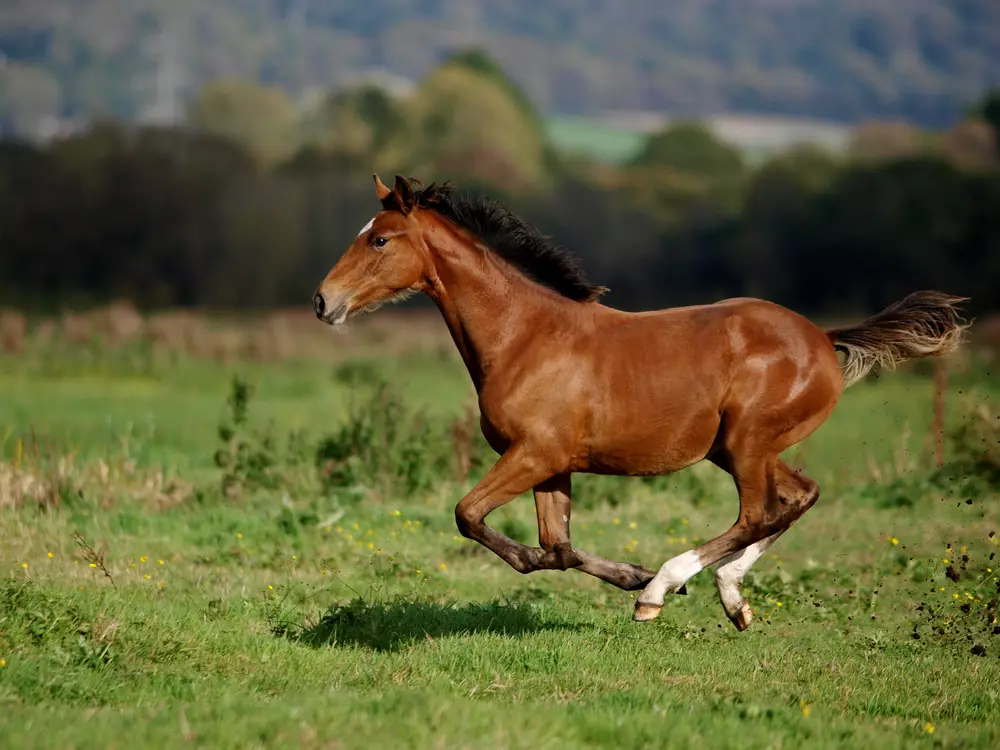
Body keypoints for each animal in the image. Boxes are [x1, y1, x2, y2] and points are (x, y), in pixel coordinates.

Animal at [314, 173, 968, 632]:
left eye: (379, 239)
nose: (323, 301)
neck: (524, 335)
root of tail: (825, 340)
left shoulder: (533, 454)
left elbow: (470, 516)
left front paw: (643, 582)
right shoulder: (553, 465)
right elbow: (556, 548)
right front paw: (631, 574)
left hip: (745, 441)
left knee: (758, 513)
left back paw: (668, 589)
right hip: (739, 448)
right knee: (798, 496)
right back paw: (729, 598)